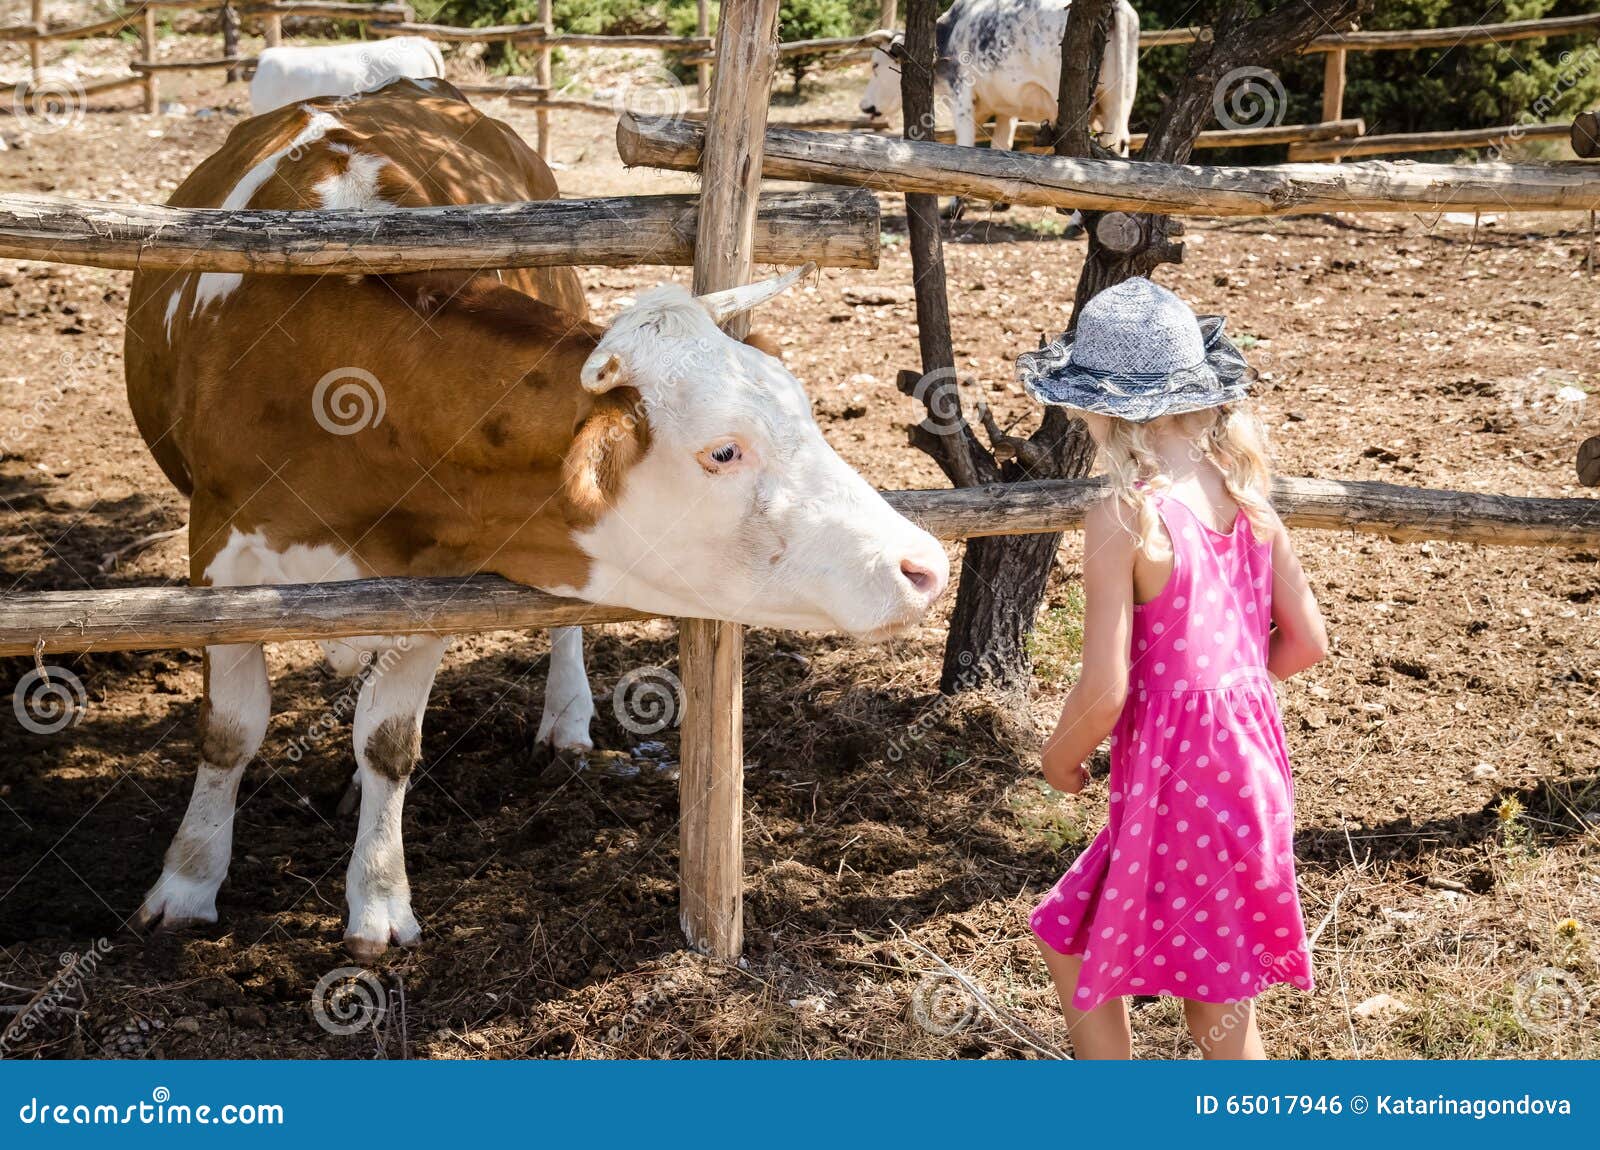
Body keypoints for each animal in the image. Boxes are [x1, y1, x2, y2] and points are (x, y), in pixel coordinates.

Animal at [124, 80, 950, 959]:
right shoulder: (217, 559)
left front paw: (377, 897)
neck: (334, 385)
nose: (924, 565)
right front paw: (187, 883)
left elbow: (389, 741)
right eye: (724, 450)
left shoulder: (435, 575)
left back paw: (565, 718)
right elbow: (230, 731)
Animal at [859, 0, 1138, 224]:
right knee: (1118, 145)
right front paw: (1000, 201)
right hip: (1119, 100)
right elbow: (1001, 145)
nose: (865, 106)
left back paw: (1076, 222)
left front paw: (955, 207)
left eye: (875, 65)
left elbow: (965, 146)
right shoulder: (1007, 107)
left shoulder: (961, 95)